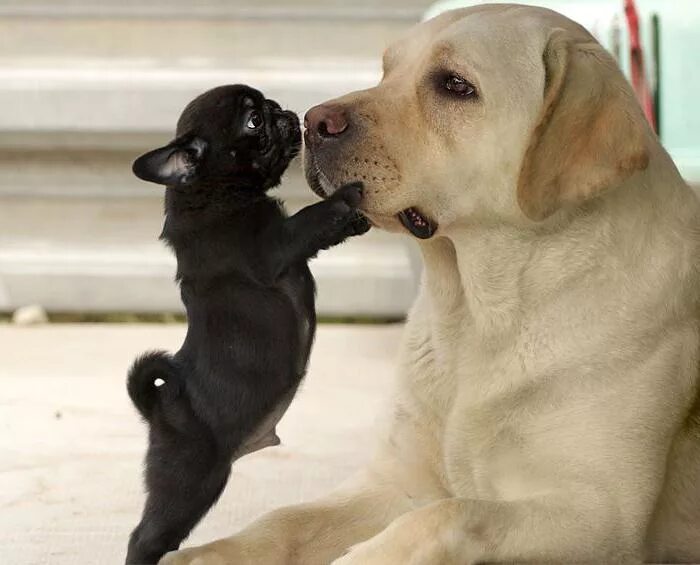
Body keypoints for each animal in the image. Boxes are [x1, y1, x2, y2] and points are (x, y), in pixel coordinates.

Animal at [125, 85, 370, 564]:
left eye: (268, 106)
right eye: (254, 121)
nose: (284, 112)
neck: (210, 189)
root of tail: (159, 409)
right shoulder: (275, 246)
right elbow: (311, 218)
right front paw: (348, 198)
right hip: (189, 480)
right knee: (145, 537)